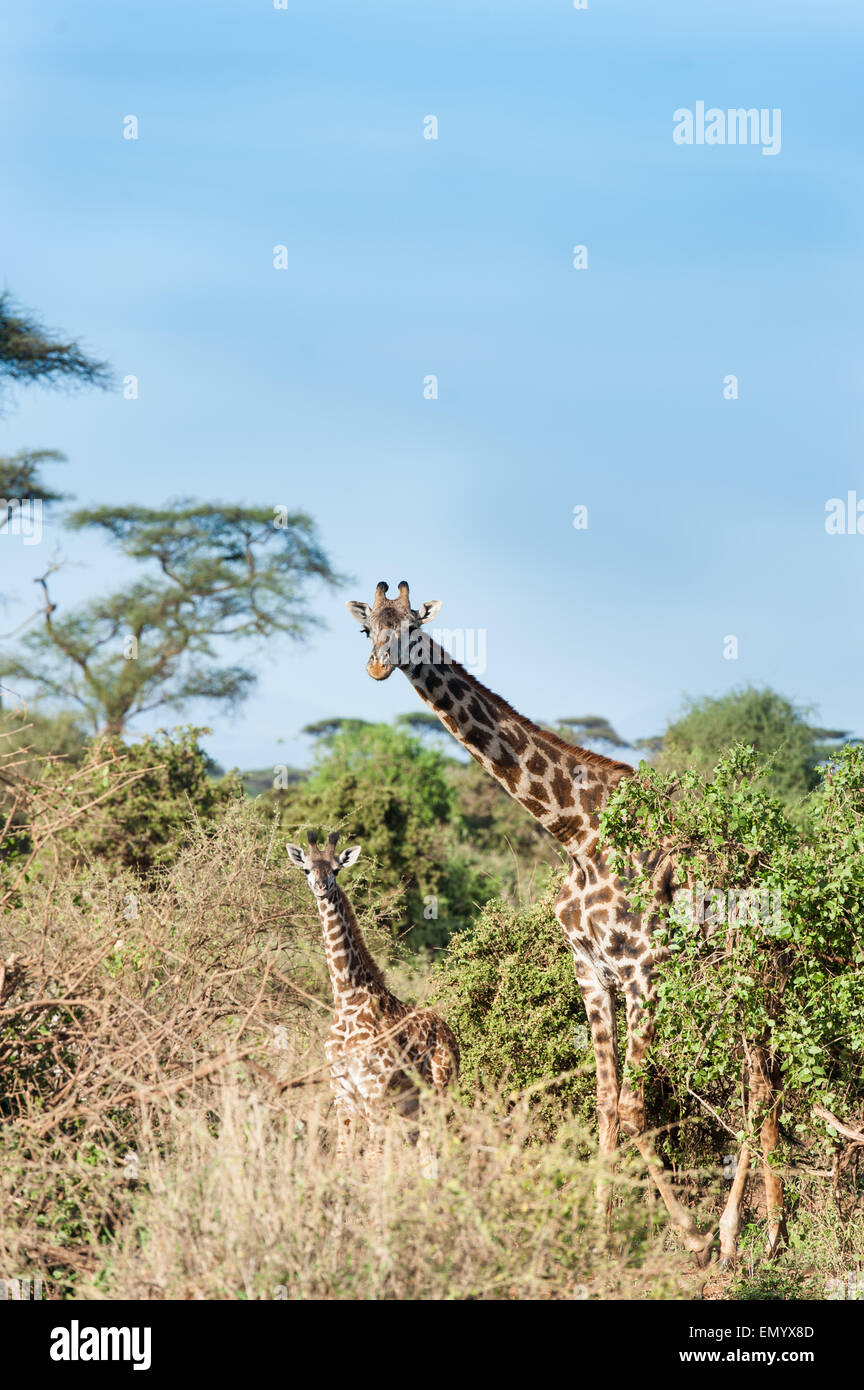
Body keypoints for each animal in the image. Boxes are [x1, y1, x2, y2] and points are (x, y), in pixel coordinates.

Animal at [286, 830, 459, 1160]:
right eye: (307, 870)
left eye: (336, 870)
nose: (322, 888)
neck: (346, 997)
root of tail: (451, 1035)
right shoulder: (341, 1089)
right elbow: (343, 1154)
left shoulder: (373, 1087)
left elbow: (374, 1157)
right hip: (411, 1100)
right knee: (423, 1149)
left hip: (440, 1088)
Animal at [346, 581, 785, 1263]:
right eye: (368, 628)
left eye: (412, 626)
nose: (376, 667)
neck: (575, 831)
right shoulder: (591, 970)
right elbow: (604, 1101)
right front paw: (600, 1233)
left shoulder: (642, 972)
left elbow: (633, 1107)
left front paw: (687, 1237)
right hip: (721, 979)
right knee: (753, 1078)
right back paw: (745, 1231)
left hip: (750, 970)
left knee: (760, 1081)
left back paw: (752, 1234)